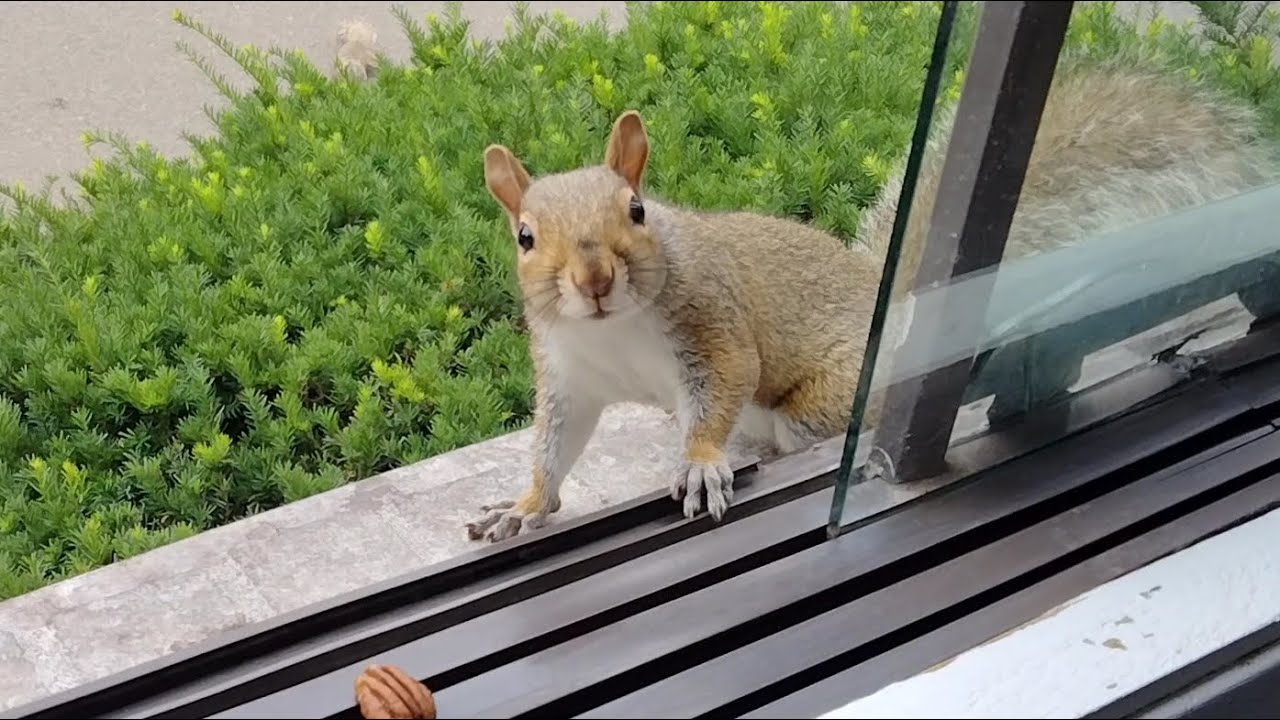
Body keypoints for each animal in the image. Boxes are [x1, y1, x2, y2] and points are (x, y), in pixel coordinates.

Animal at [466, 56, 1278, 543]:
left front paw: (698, 461)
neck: (613, 330)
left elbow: (727, 378)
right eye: (526, 237)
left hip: (824, 398)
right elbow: (558, 443)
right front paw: (524, 506)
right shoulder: (569, 374)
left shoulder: (709, 321)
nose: (594, 280)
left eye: (636, 211)